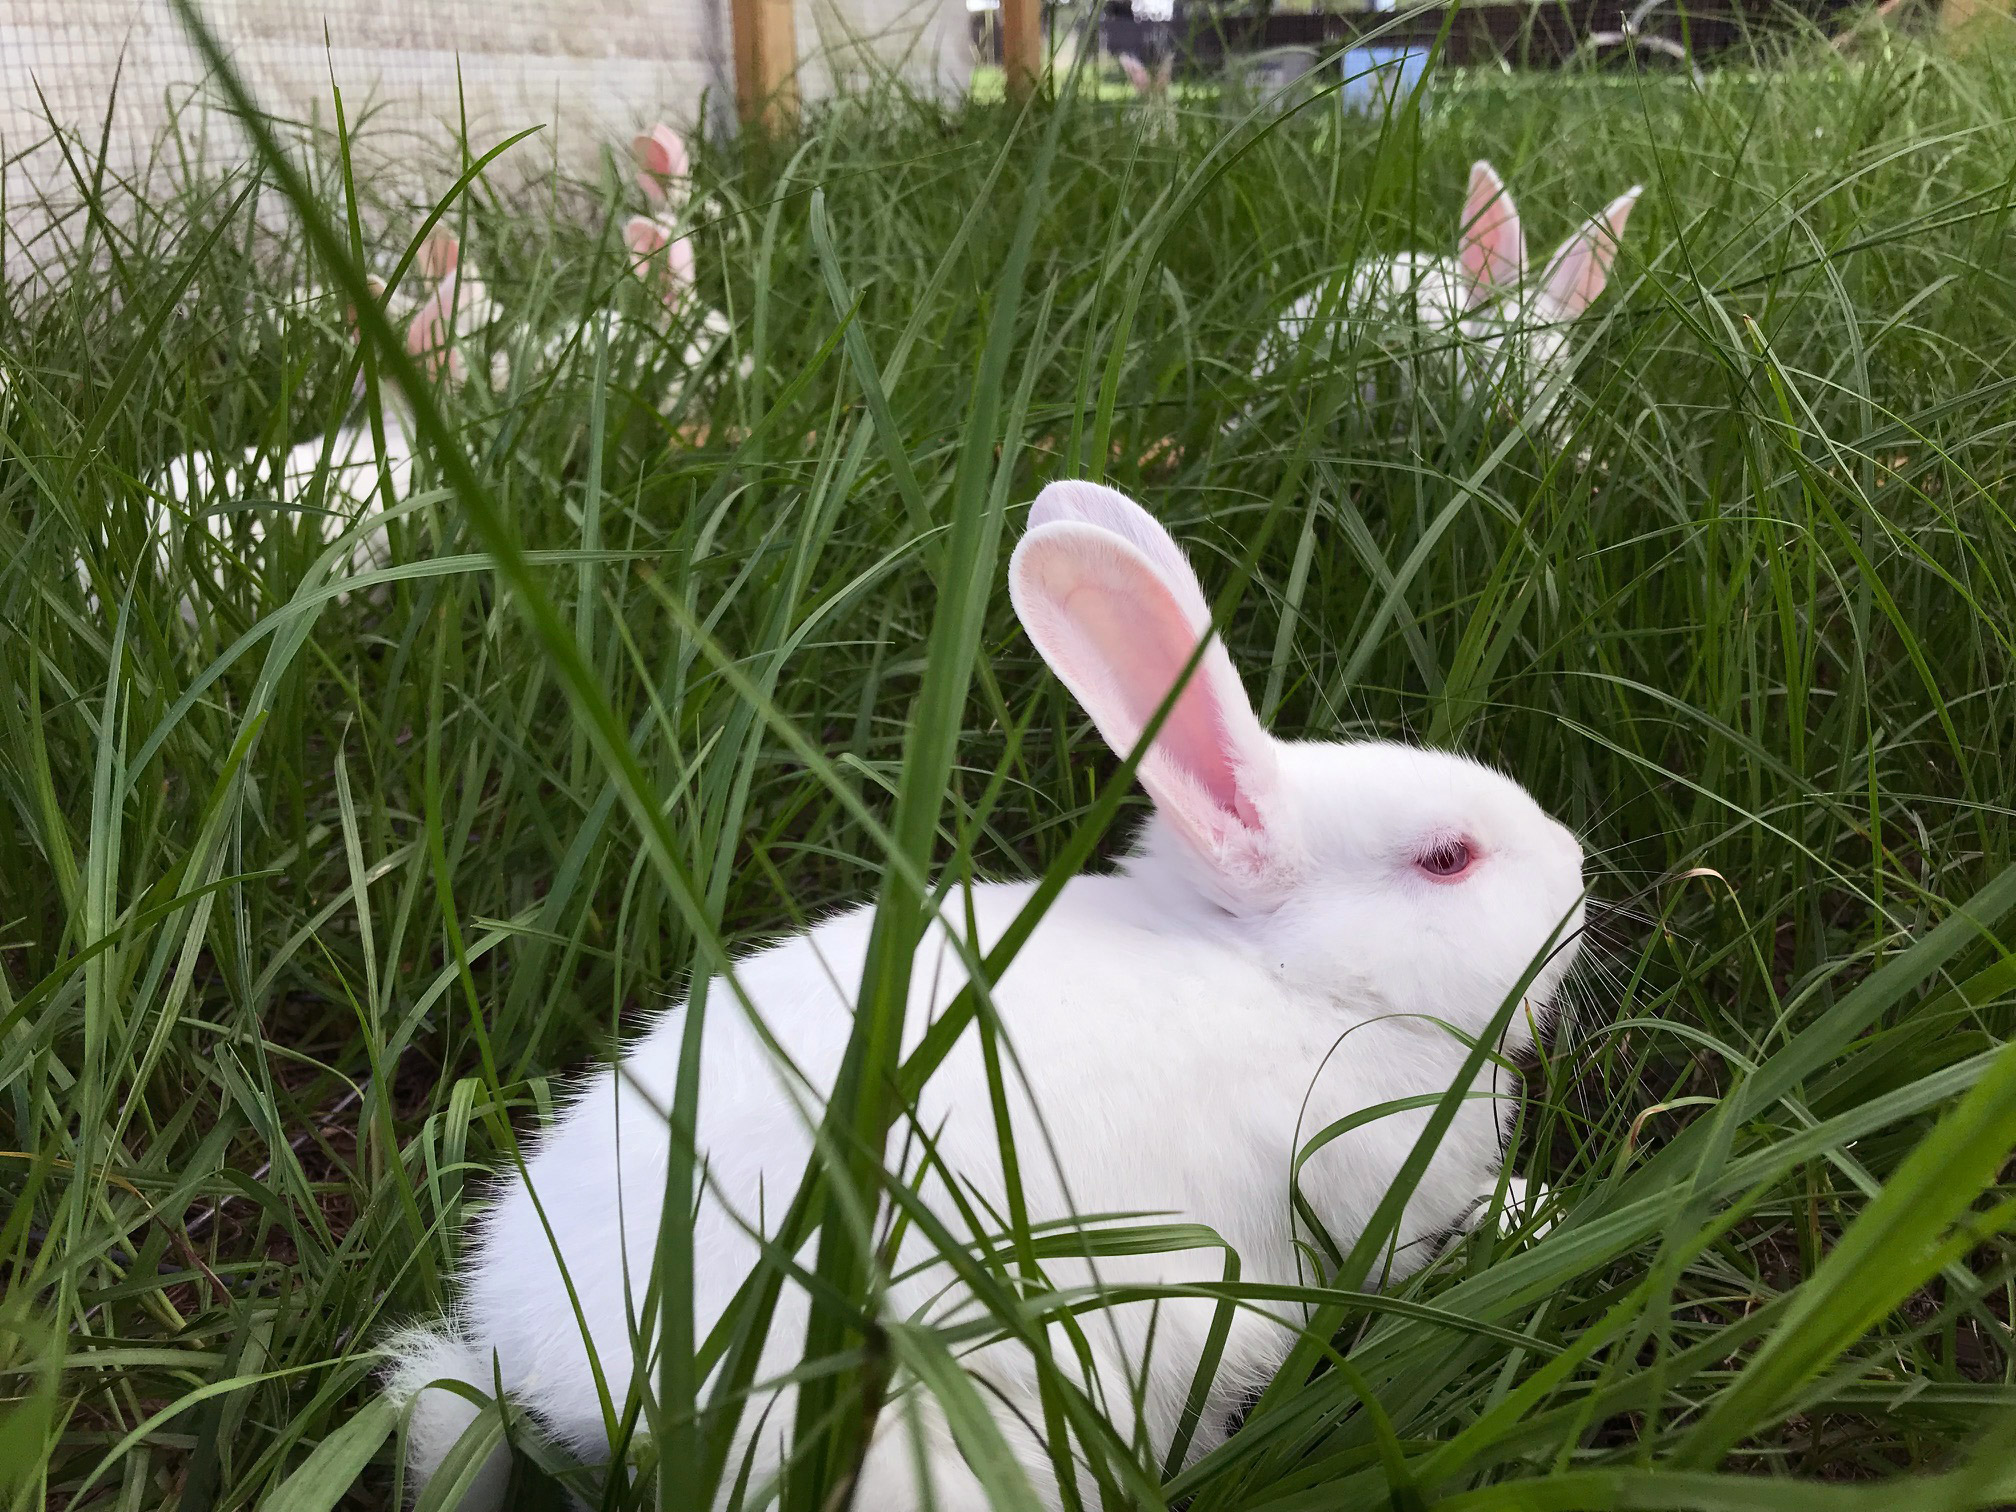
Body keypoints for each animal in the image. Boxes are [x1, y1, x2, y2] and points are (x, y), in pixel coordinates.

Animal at [382, 479, 1590, 1510]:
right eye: (1447, 860)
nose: (1581, 874)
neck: (1289, 981)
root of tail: (554, 1377)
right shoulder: (1364, 1185)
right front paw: (1536, 1212)